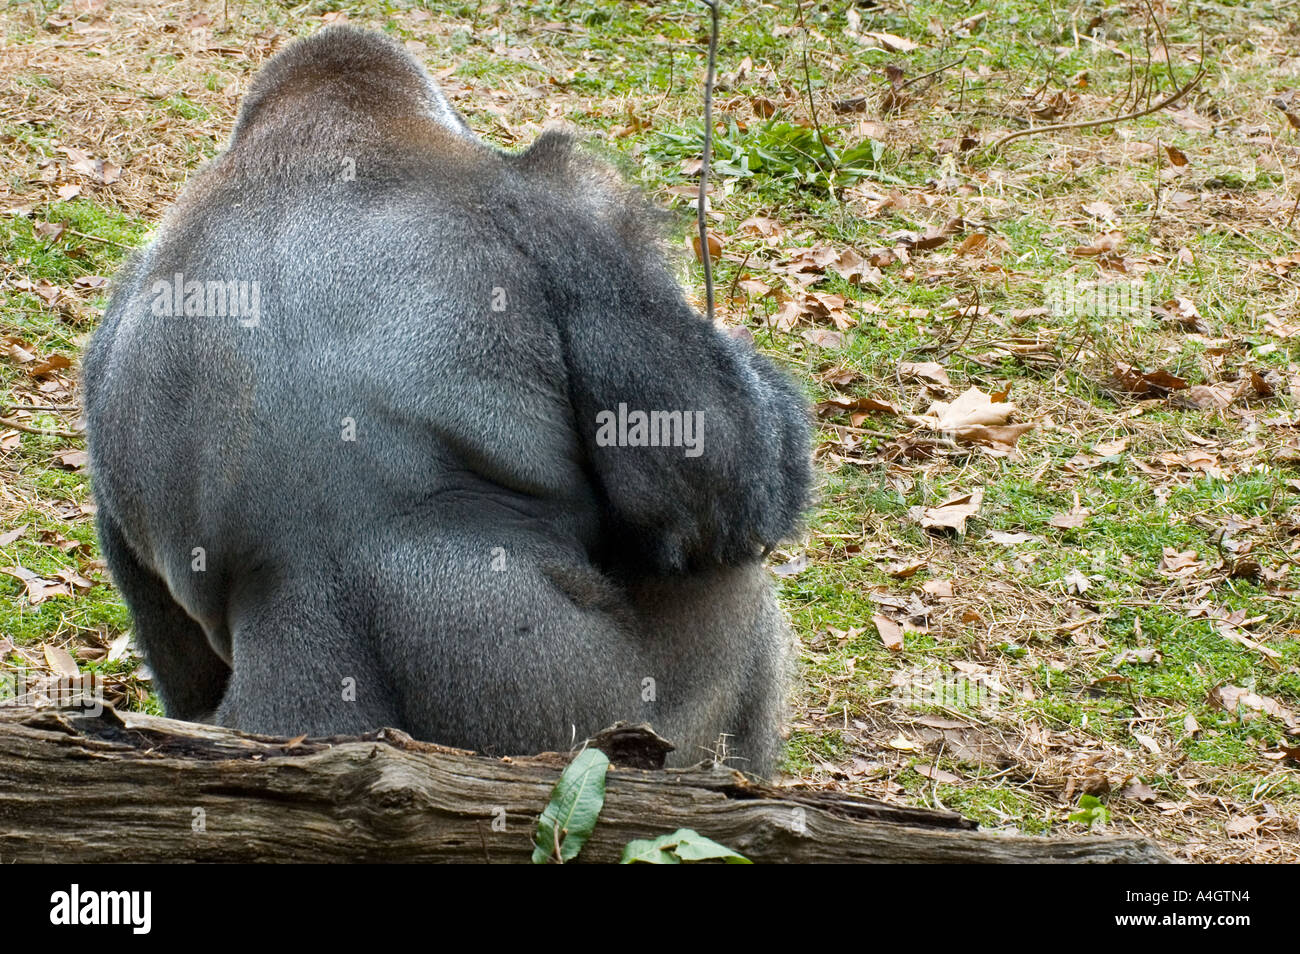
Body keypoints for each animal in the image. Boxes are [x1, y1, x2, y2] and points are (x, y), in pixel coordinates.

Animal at [81, 26, 812, 777]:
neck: (317, 140)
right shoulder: (577, 205)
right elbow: (726, 480)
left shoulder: (110, 332)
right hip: (567, 730)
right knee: (726, 586)